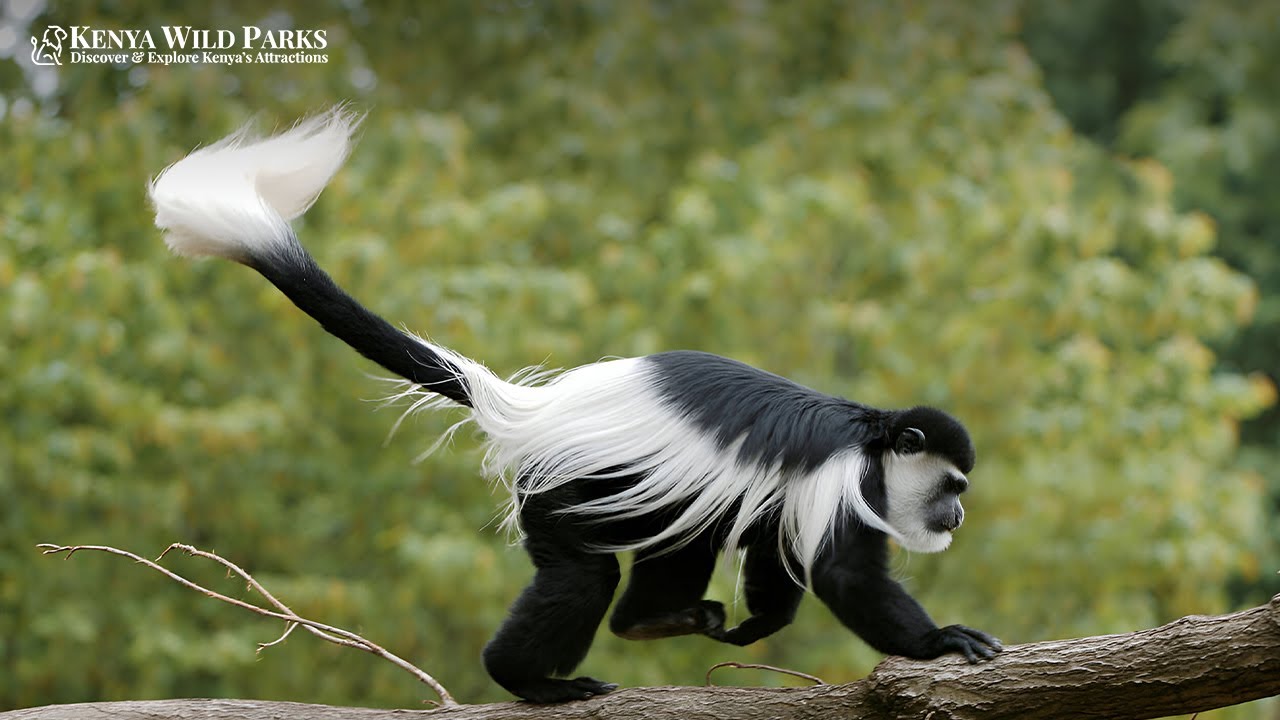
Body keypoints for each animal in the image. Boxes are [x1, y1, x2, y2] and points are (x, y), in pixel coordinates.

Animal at [148, 109, 1003, 704]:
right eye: (953, 486)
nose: (958, 517)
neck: (874, 439)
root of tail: (534, 408)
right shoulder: (842, 478)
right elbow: (841, 573)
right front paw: (941, 642)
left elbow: (771, 548)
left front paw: (758, 625)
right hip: (573, 485)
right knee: (581, 577)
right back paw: (528, 679)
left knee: (682, 537)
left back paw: (647, 622)